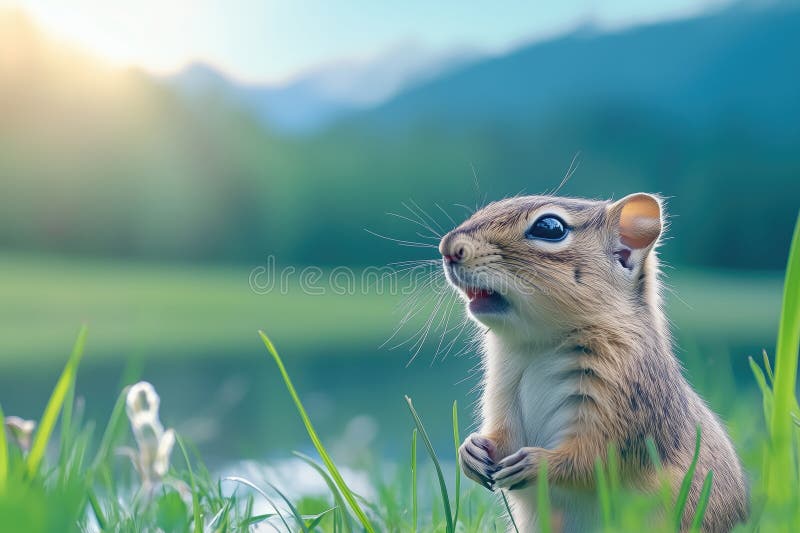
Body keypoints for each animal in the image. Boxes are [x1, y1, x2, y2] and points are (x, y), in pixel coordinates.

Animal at [439, 193, 748, 532]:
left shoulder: (627, 402)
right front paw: (470, 451)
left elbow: (594, 460)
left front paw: (537, 464)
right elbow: (503, 438)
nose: (448, 248)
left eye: (550, 227)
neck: (539, 346)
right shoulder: (504, 393)